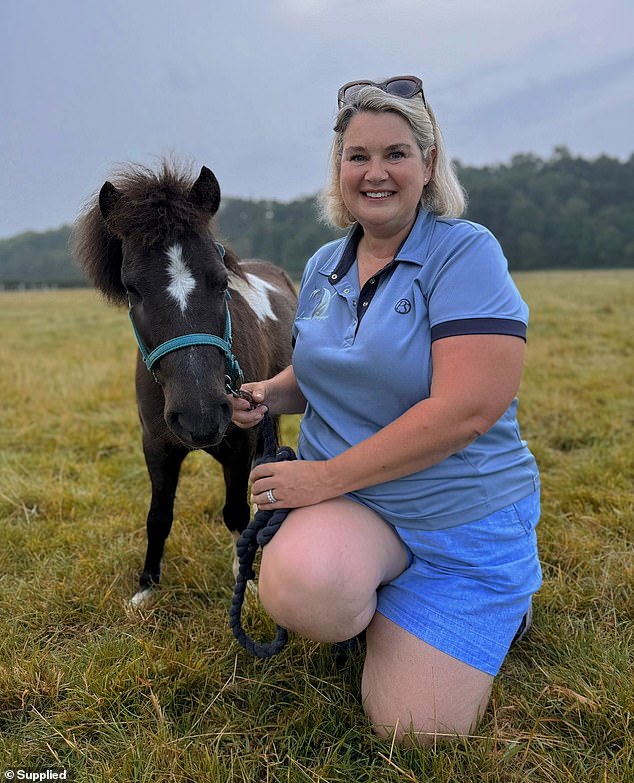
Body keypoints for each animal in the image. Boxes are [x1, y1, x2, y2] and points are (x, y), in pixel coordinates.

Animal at [72, 161, 298, 607]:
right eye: (132, 289)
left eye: (222, 281)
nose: (201, 415)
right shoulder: (156, 445)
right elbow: (158, 516)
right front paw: (146, 587)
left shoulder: (239, 443)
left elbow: (235, 512)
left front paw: (245, 578)